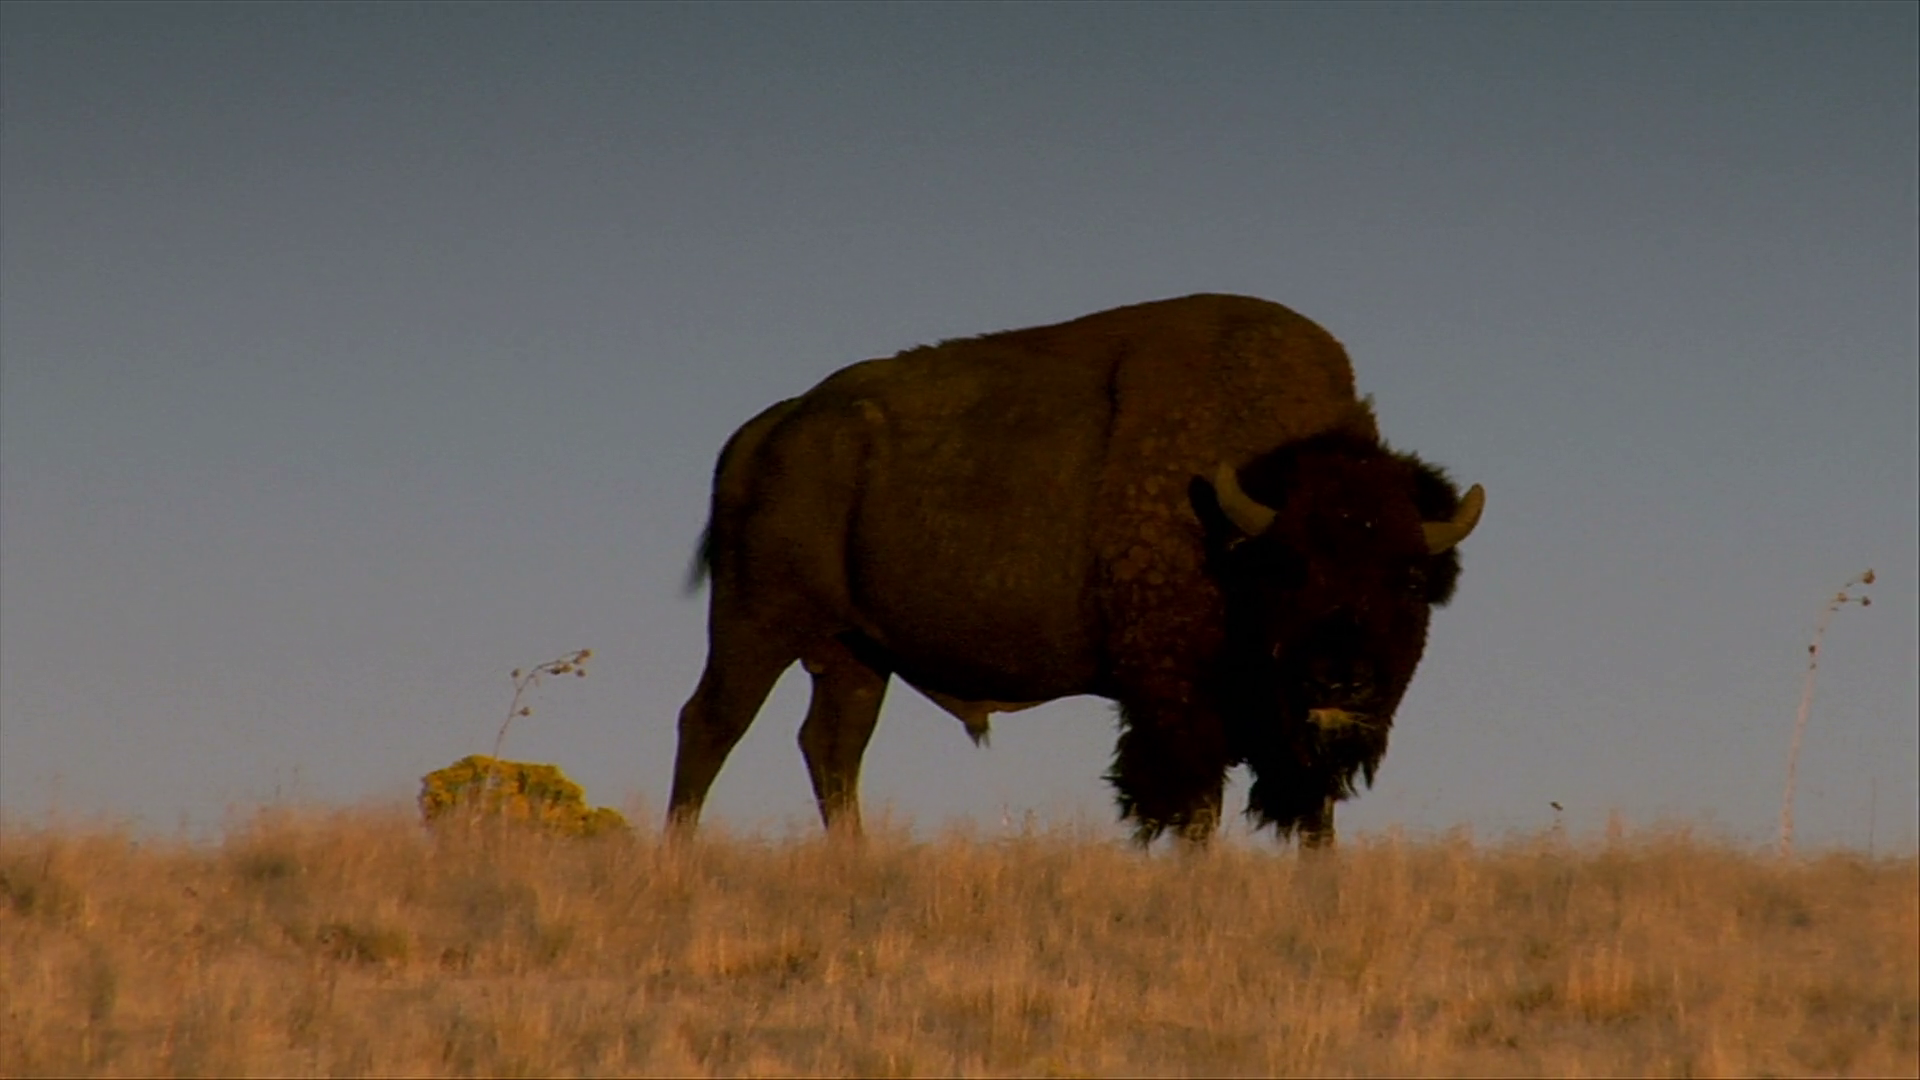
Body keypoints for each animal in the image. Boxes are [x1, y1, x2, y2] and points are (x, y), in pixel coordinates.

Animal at [668, 294, 1483, 846]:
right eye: (1288, 568)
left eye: (1410, 579)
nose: (1343, 682)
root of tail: (769, 429)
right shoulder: (1175, 703)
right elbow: (1192, 803)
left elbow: (1309, 811)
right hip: (755, 622)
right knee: (710, 722)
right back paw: (681, 850)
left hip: (855, 655)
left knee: (831, 746)